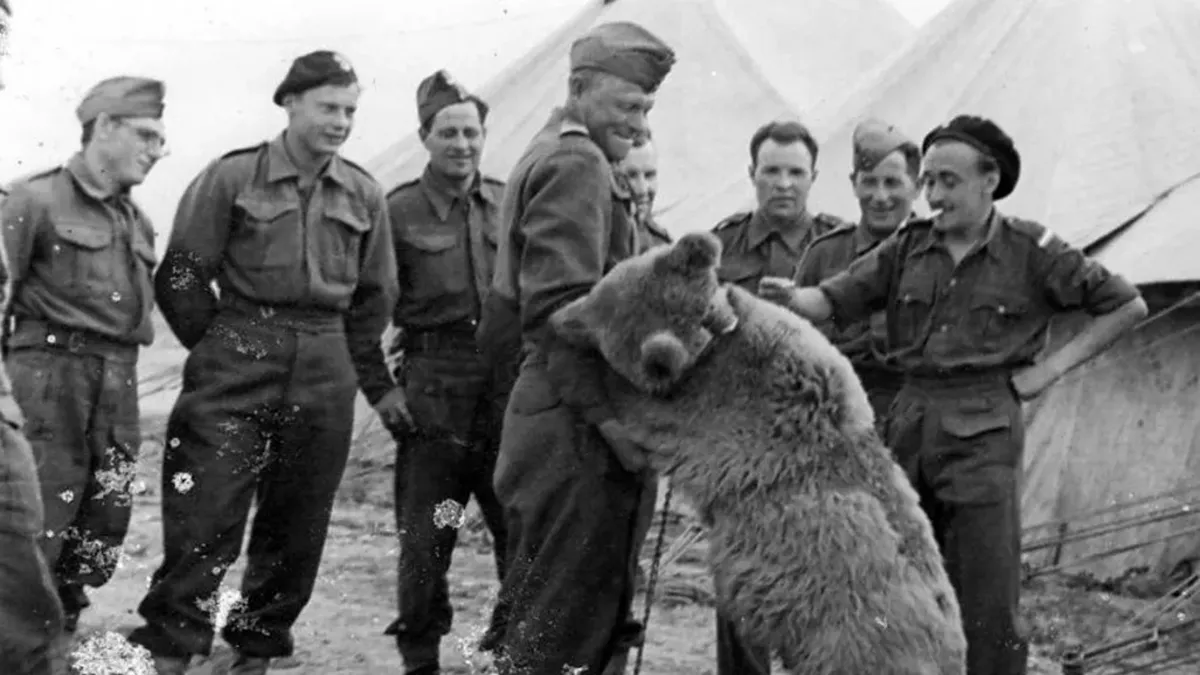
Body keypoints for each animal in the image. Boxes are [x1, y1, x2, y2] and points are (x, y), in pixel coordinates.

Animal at [540, 231, 968, 675]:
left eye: (593, 307)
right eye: (602, 287)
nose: (555, 319)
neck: (716, 339)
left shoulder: (713, 412)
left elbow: (645, 412)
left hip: (856, 644)